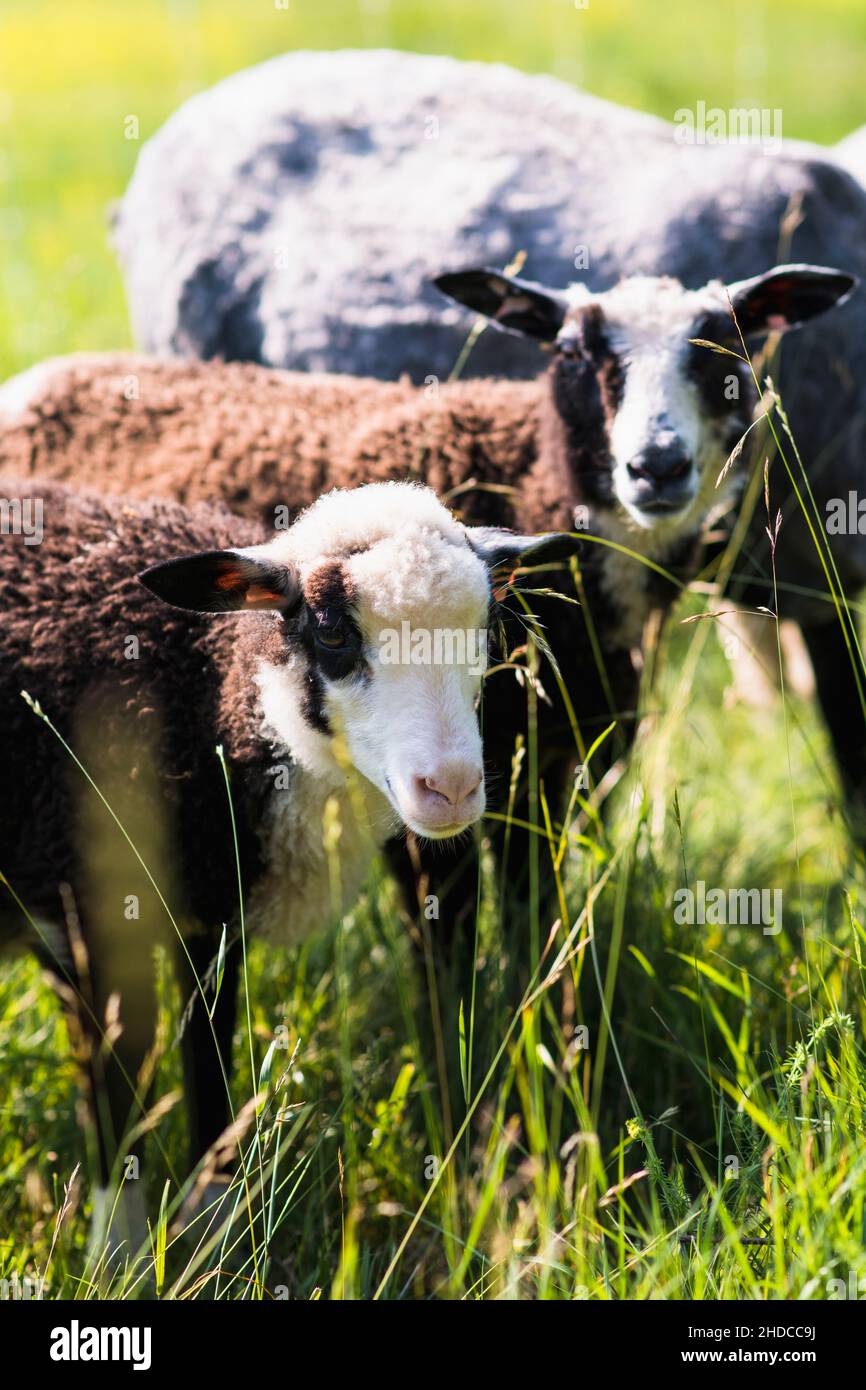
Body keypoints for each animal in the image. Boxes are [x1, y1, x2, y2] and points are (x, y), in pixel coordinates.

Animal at [0, 474, 560, 1200]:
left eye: (487, 627)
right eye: (331, 631)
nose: (453, 788)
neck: (212, 690)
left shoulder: (212, 920)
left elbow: (209, 1079)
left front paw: (211, 1216)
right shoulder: (93, 922)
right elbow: (121, 1113)